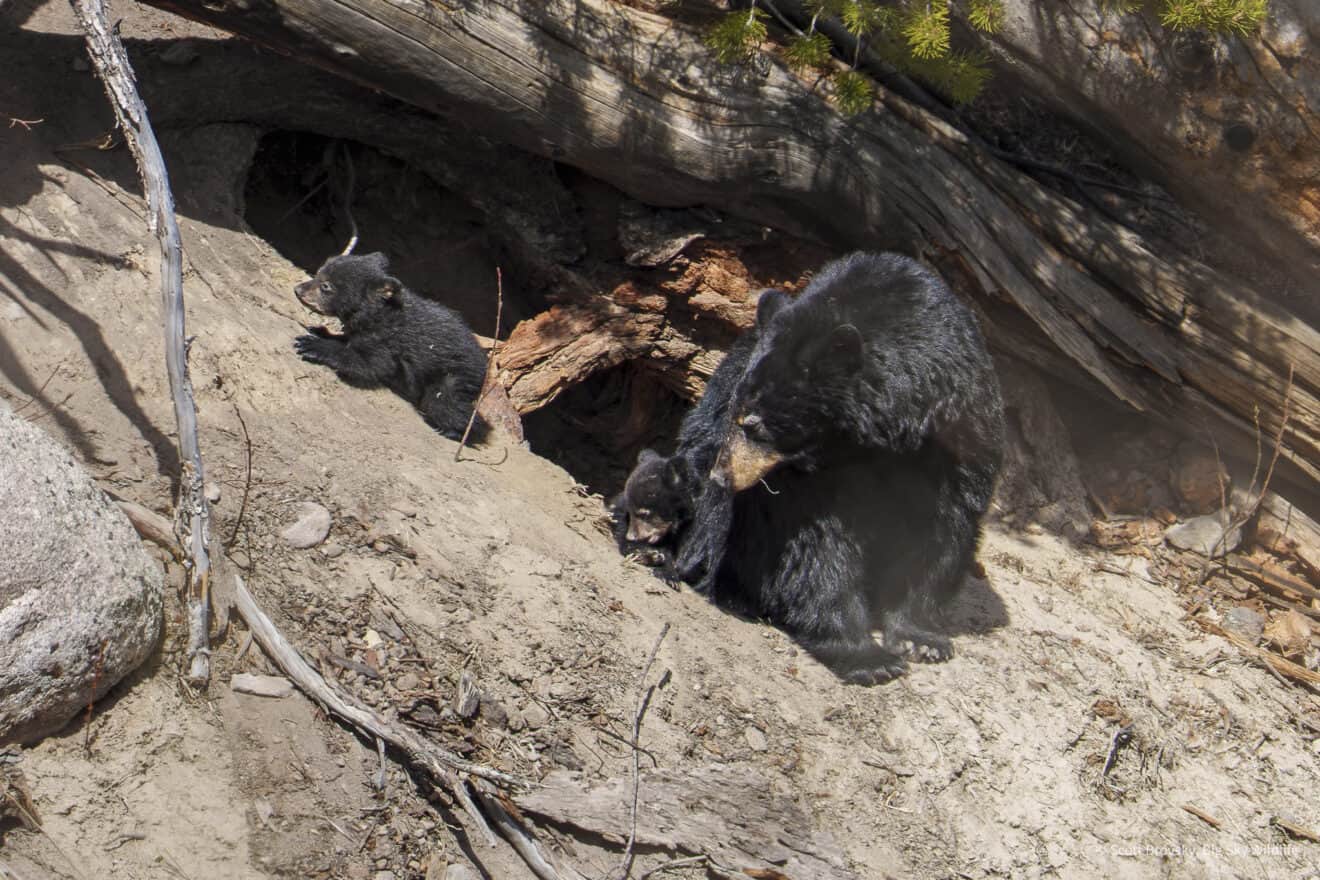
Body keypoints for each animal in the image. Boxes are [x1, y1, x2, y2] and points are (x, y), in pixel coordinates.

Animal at [293, 252, 489, 442]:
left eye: (326, 286)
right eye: (318, 272)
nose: (298, 290)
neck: (376, 314)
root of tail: (484, 365)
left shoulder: (386, 341)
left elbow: (372, 365)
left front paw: (313, 345)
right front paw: (319, 331)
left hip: (453, 376)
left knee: (446, 404)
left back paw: (453, 432)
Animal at [699, 252, 1005, 685]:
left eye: (754, 423)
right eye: (736, 413)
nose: (721, 476)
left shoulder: (960, 433)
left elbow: (941, 532)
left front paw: (920, 638)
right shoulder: (810, 481)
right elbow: (814, 545)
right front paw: (868, 658)